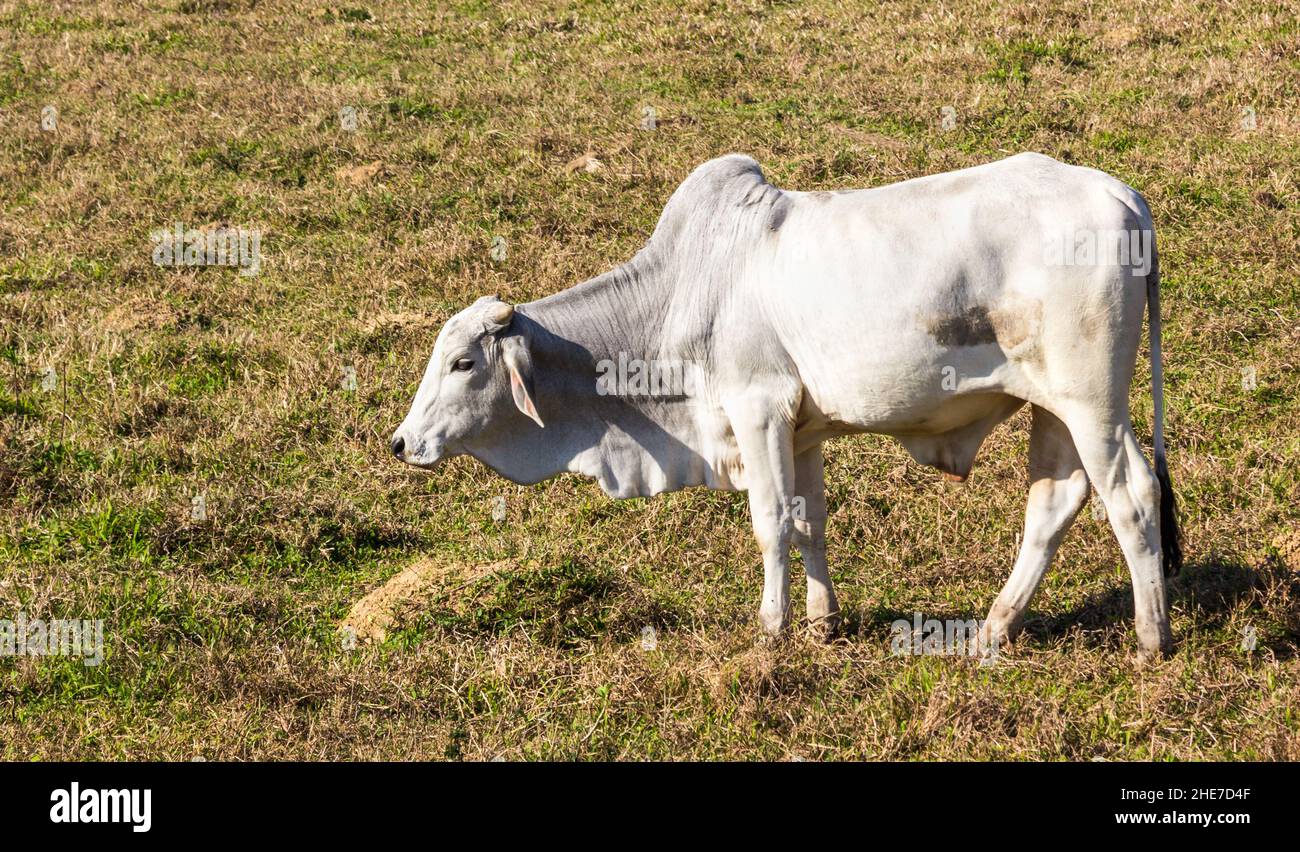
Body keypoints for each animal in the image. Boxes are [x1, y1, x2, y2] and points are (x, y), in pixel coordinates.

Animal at [391, 152, 1182, 663]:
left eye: (463, 363)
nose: (402, 443)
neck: (684, 294)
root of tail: (1121, 195)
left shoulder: (758, 409)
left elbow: (771, 525)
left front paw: (771, 630)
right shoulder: (803, 431)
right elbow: (811, 524)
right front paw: (821, 623)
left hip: (1093, 403)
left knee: (1132, 497)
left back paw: (1152, 641)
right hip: (1054, 408)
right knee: (1054, 503)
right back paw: (994, 628)